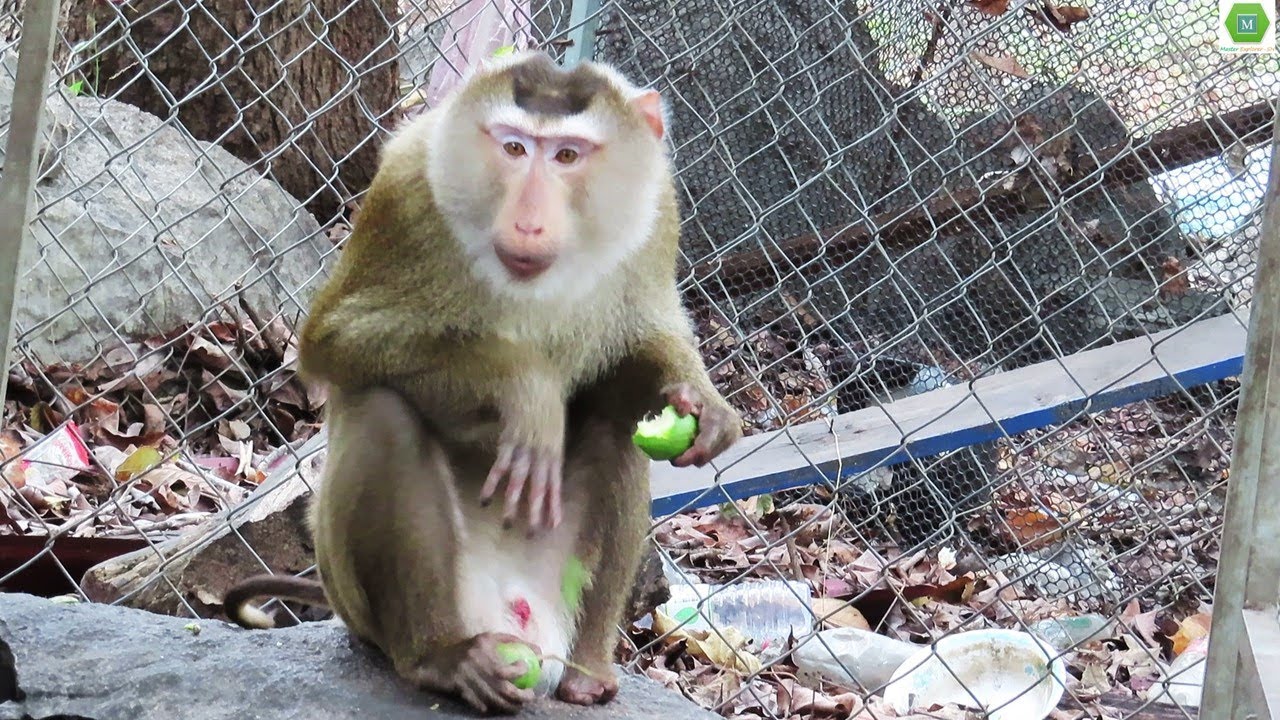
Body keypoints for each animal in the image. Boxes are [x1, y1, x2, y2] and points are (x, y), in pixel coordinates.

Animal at [223, 50, 742, 715]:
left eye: (567, 155)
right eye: (515, 147)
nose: (528, 221)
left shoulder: (658, 213)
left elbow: (643, 336)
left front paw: (700, 398)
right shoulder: (405, 189)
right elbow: (333, 340)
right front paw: (526, 387)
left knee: (616, 415)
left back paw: (587, 671)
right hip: (367, 602)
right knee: (381, 409)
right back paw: (441, 658)